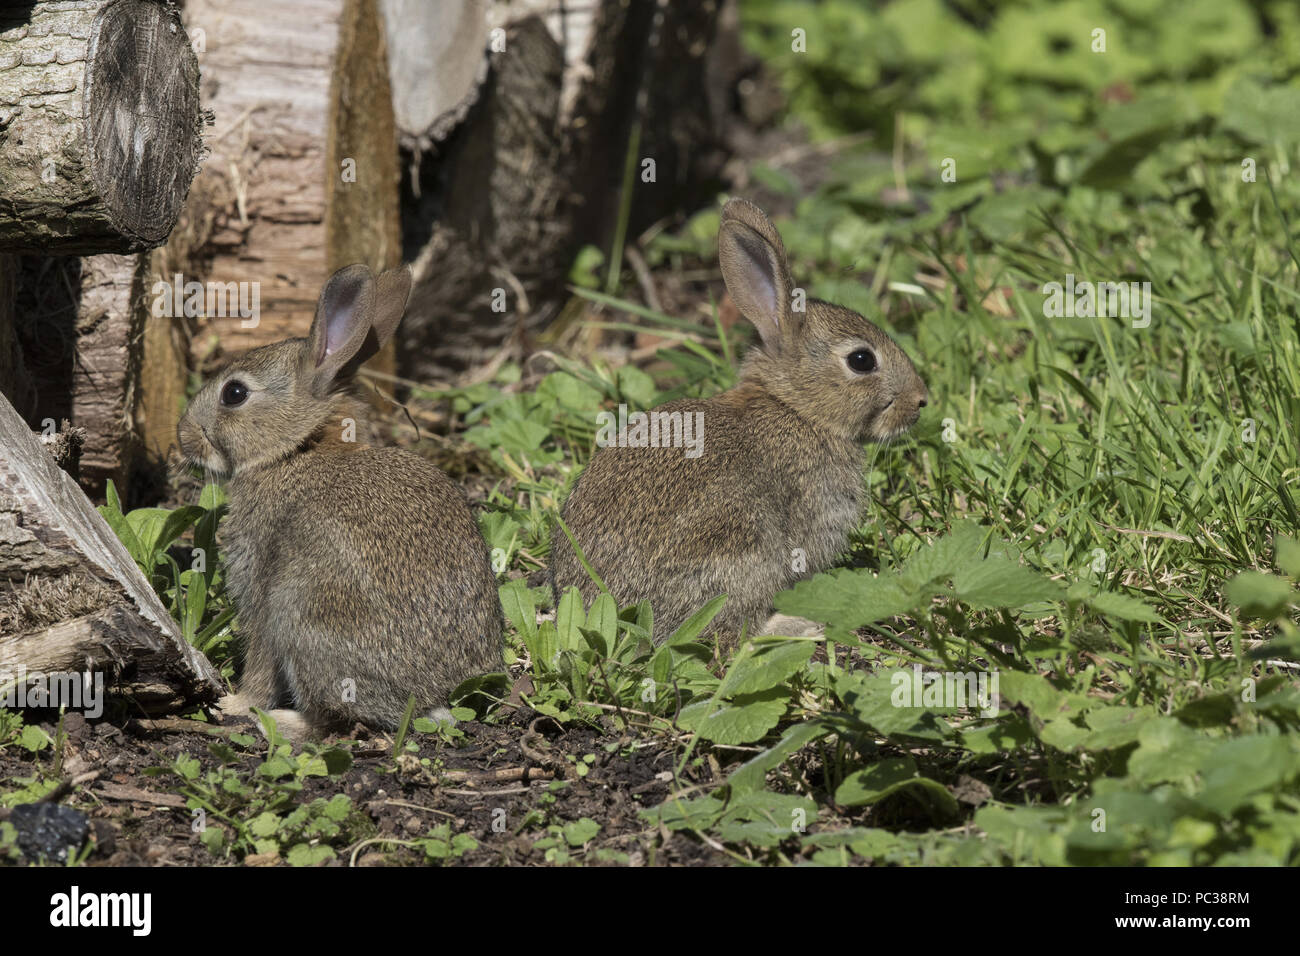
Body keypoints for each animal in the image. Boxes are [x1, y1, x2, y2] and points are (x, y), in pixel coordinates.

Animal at [177, 263, 504, 741]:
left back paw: (280, 720)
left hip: (302, 615)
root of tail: (430, 696)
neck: (295, 450)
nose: (183, 436)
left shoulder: (262, 587)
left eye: (234, 394)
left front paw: (235, 703)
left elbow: (259, 656)